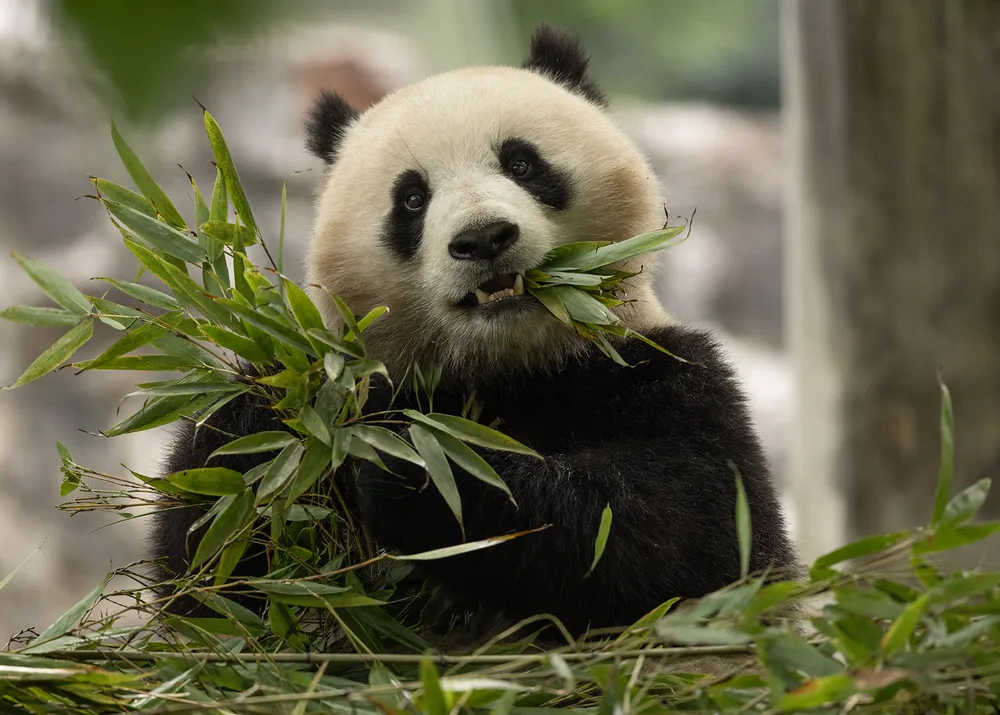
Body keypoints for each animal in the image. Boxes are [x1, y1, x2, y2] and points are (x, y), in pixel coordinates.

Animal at [149, 24, 800, 644]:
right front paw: (278, 421)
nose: (484, 238)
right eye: (412, 198)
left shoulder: (663, 373)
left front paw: (416, 467)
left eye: (522, 164)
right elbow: (212, 577)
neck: (509, 365)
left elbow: (685, 537)